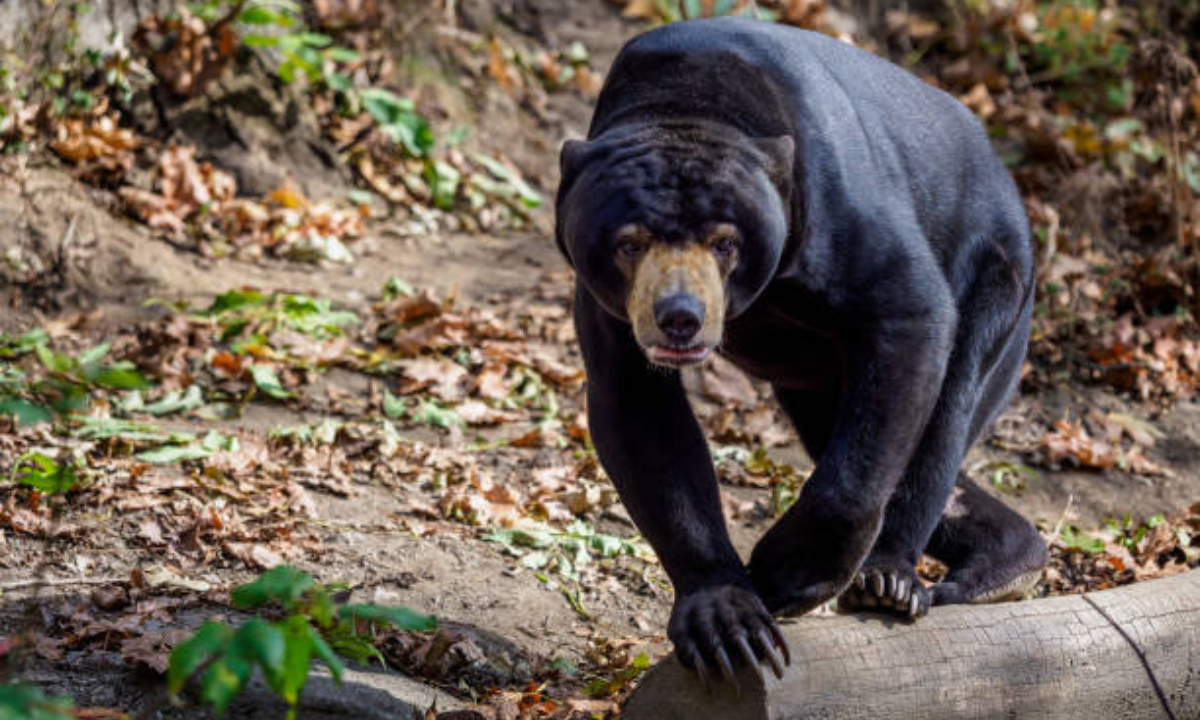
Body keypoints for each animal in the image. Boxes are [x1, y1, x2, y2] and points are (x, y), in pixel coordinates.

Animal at [555, 17, 1047, 683]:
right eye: (630, 243)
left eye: (726, 242)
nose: (680, 317)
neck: (689, 100)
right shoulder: (609, 308)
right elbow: (641, 417)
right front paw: (728, 626)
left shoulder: (836, 211)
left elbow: (910, 316)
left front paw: (783, 576)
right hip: (819, 380)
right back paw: (1010, 561)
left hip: (998, 278)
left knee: (946, 413)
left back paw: (891, 581)